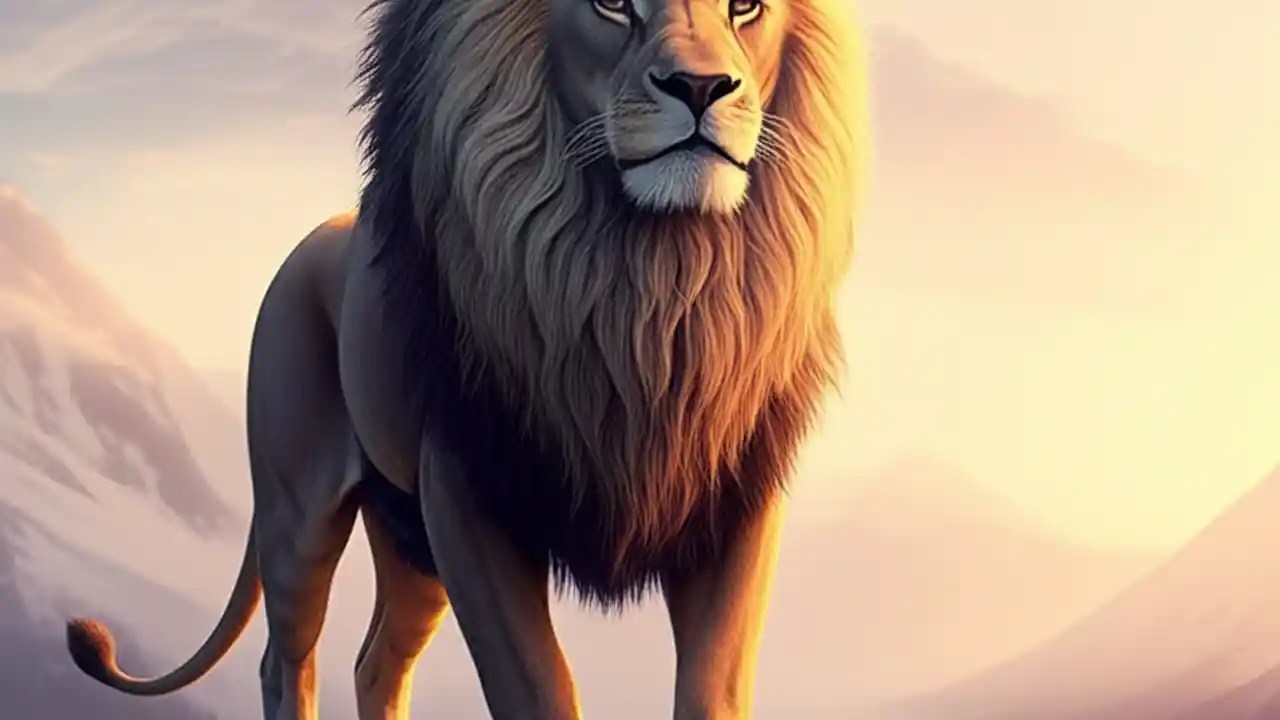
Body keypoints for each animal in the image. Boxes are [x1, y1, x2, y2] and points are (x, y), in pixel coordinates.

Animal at [63, 0, 866, 718]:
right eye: (612, 5)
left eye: (745, 8)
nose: (700, 89)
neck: (648, 289)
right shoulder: (466, 490)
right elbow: (538, 688)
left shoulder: (736, 506)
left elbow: (712, 690)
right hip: (302, 511)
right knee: (285, 661)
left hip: (408, 539)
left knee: (377, 662)